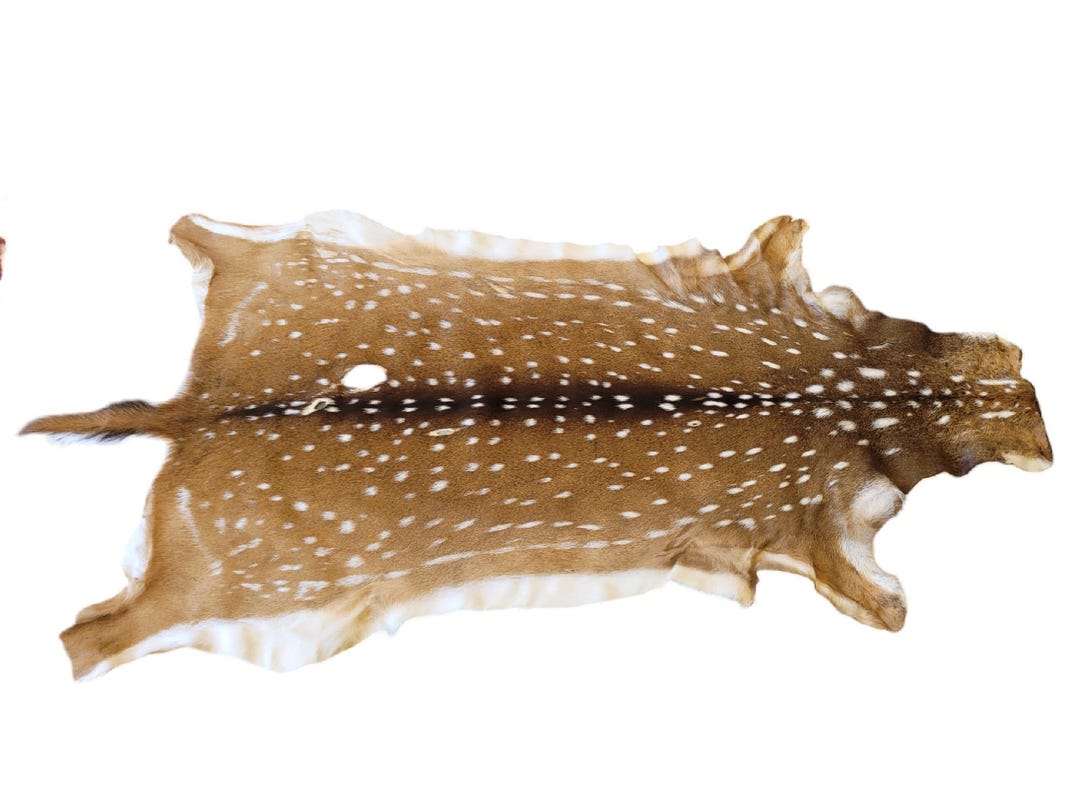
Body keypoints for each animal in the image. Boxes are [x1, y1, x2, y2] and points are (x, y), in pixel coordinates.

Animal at [20, 212, 1052, 680]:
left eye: (896, 323)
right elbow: (879, 598)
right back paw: (85, 641)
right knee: (101, 632)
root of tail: (190, 406)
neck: (853, 399)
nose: (1032, 406)